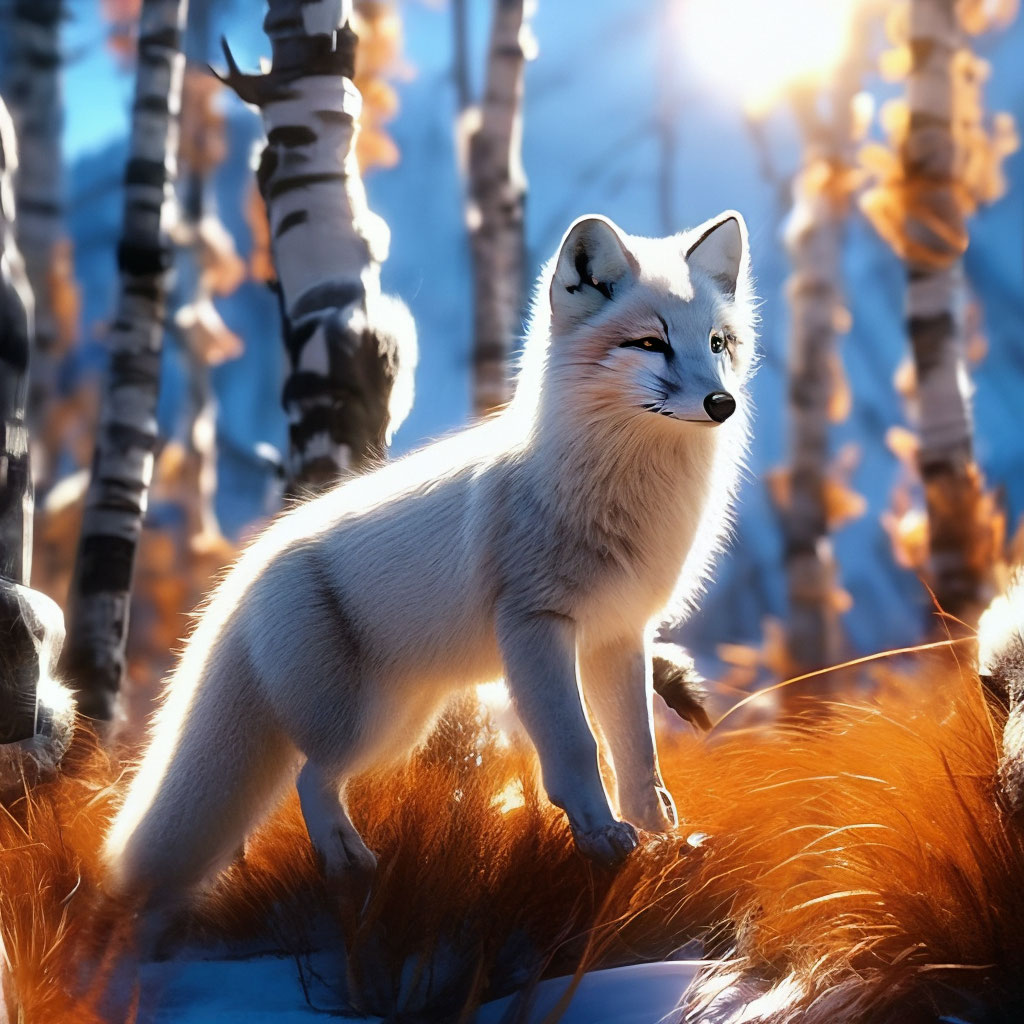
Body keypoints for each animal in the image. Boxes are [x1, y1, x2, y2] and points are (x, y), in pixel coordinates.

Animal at [103, 210, 757, 913]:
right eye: (651, 344)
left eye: (717, 343)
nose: (722, 404)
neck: (627, 492)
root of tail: (249, 567)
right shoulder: (536, 626)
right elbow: (576, 746)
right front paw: (603, 837)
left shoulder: (619, 633)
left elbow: (638, 753)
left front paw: (663, 839)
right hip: (360, 721)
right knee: (310, 778)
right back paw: (348, 865)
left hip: (400, 724)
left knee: (313, 778)